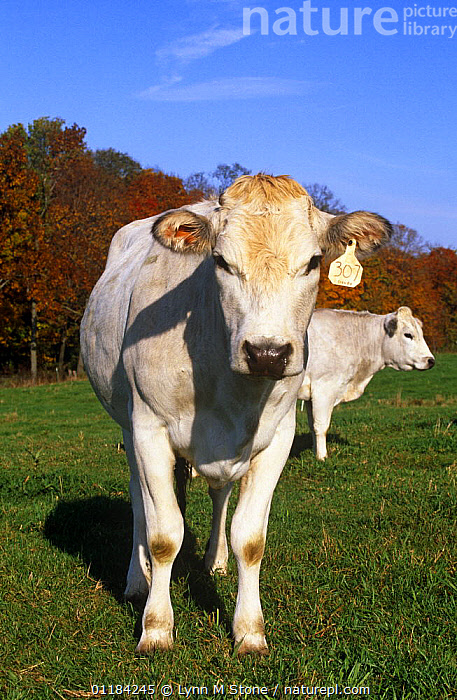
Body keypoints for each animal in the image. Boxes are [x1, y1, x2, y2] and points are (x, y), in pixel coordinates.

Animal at [80, 174, 392, 655]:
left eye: (313, 262)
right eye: (221, 261)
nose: (267, 353)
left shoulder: (277, 435)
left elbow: (250, 538)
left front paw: (249, 631)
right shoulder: (149, 427)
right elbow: (163, 534)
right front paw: (156, 627)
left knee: (218, 494)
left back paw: (214, 560)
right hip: (128, 427)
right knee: (139, 501)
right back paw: (138, 580)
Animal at [298, 306, 435, 460]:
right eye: (408, 334)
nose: (430, 360)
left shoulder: (310, 395)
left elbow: (312, 425)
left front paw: (315, 452)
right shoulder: (324, 389)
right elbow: (321, 426)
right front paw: (322, 457)